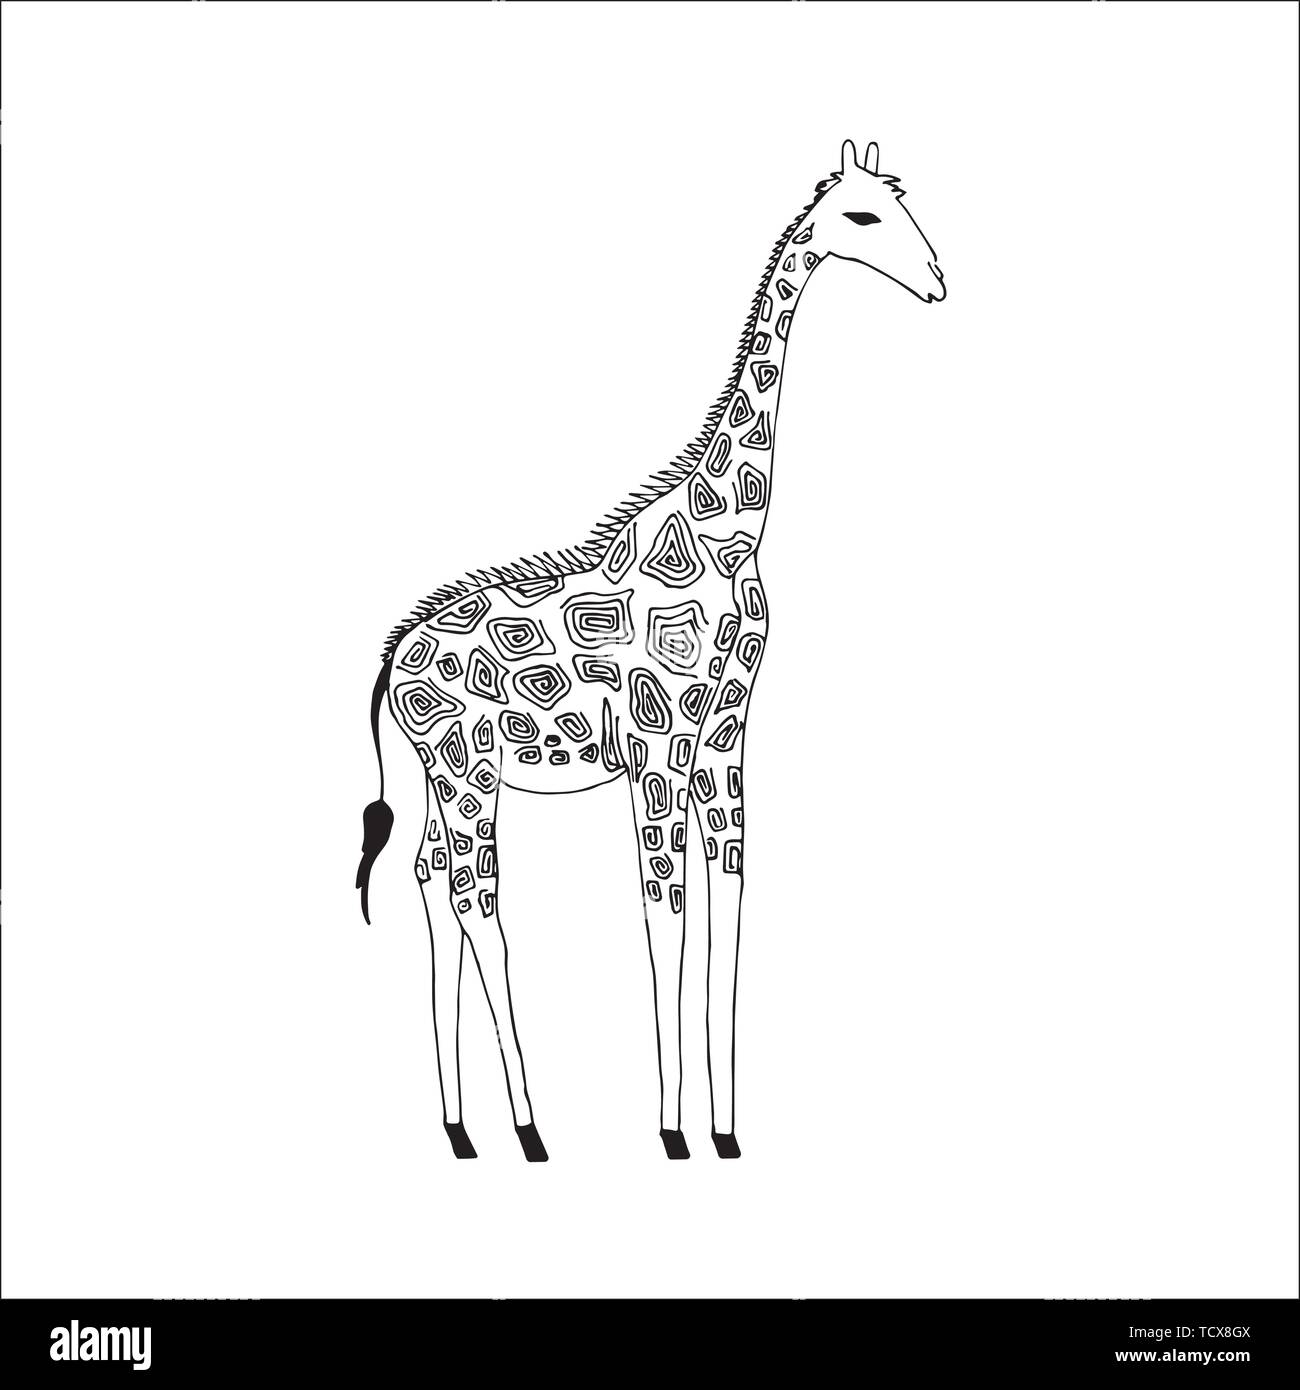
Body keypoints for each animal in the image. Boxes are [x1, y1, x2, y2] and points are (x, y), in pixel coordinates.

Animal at [357, 139, 945, 1161]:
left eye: (901, 206)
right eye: (863, 217)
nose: (939, 280)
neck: (732, 530)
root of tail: (388, 663)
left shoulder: (725, 741)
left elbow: (728, 915)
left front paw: (725, 1129)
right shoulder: (658, 753)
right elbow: (664, 923)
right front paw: (672, 1131)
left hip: (436, 778)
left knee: (431, 890)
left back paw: (461, 1128)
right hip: (473, 776)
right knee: (480, 907)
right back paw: (529, 1127)